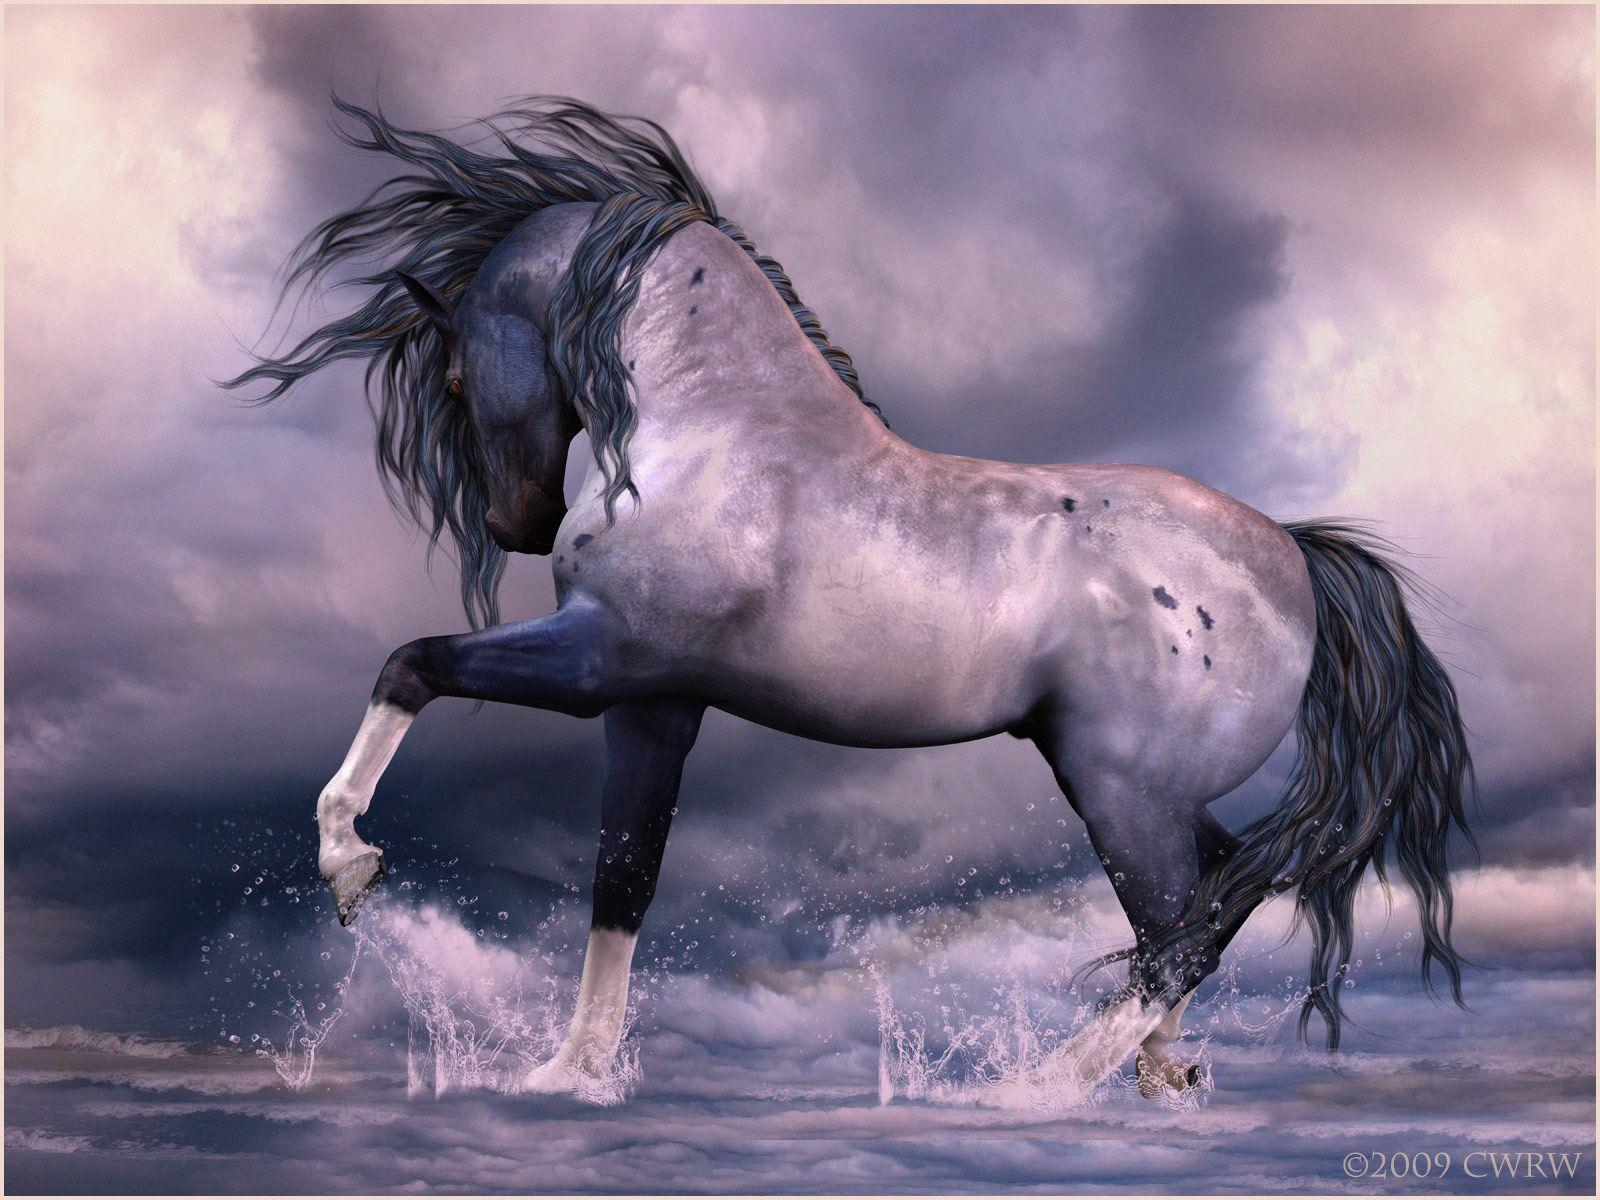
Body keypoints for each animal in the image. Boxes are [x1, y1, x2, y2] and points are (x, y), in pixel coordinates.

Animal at [227, 96, 1475, 1099]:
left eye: (450, 375)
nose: (516, 524)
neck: (716, 430)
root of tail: (1294, 558)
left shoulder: (600, 662)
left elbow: (413, 662)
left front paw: (347, 867)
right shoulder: (655, 702)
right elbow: (622, 881)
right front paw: (570, 1075)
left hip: (1120, 789)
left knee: (1185, 928)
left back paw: (1034, 1090)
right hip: (1144, 793)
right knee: (1211, 898)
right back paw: (1159, 1075)